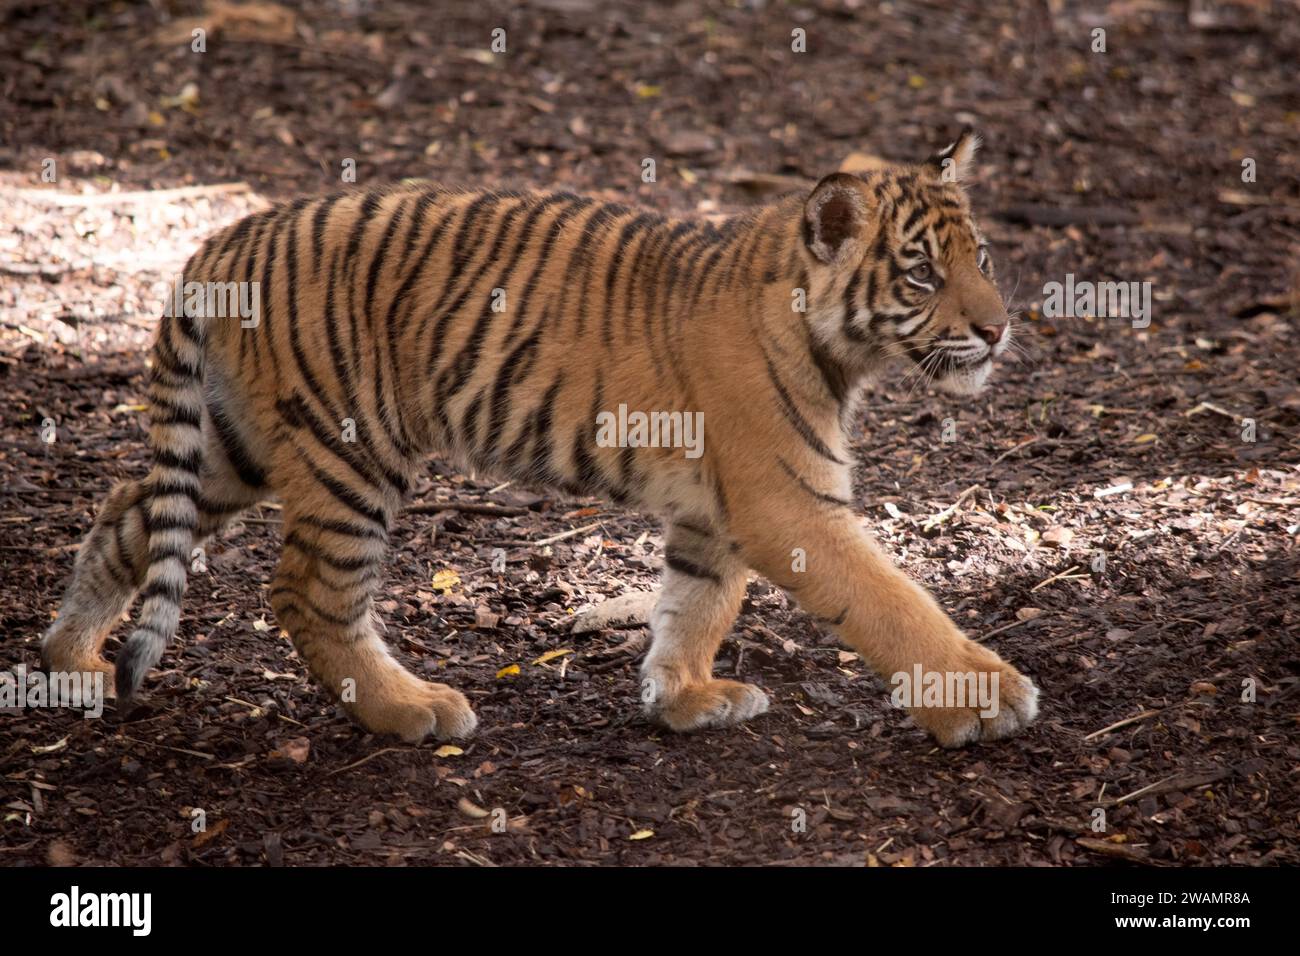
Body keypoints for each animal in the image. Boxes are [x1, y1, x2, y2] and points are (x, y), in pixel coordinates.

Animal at [41, 128, 1039, 749]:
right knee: (307, 595)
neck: (837, 346)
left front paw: (683, 698)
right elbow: (893, 602)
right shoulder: (788, 503)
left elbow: (697, 602)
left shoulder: (717, 511)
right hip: (348, 450)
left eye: (984, 258)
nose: (997, 331)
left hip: (233, 445)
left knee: (128, 509)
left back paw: (70, 662)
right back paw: (410, 710)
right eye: (921, 274)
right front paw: (983, 699)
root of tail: (218, 244)